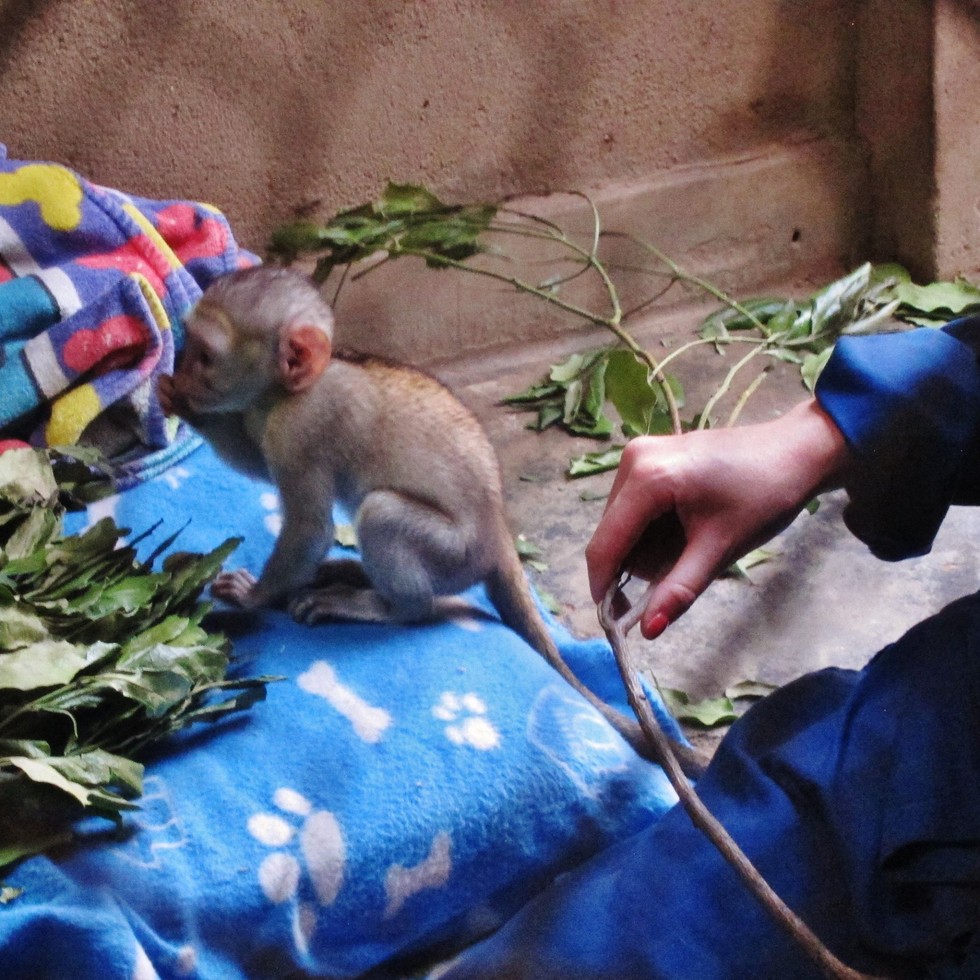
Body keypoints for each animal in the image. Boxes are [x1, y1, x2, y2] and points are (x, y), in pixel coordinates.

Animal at [158, 265, 701, 772]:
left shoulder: (302, 426)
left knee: (382, 517)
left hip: (453, 555)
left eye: (205, 357)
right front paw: (178, 403)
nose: (182, 376)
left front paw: (254, 596)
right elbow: (255, 461)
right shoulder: (265, 416)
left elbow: (309, 526)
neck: (289, 391)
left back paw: (387, 606)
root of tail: (499, 535)